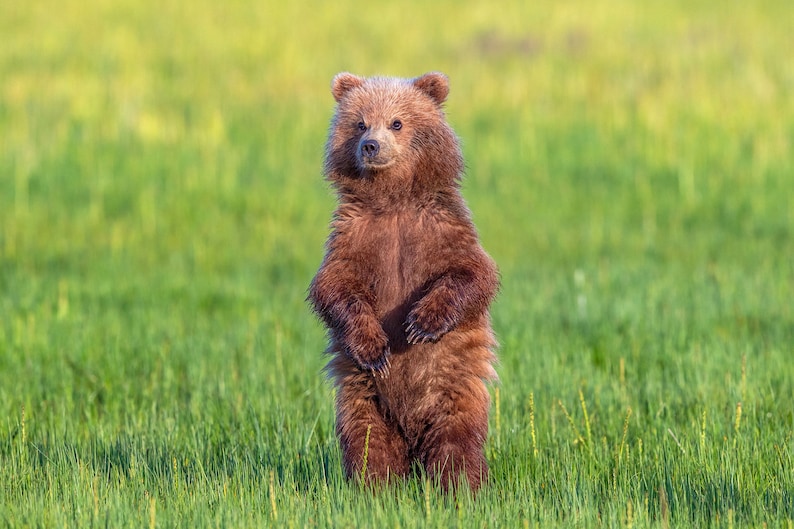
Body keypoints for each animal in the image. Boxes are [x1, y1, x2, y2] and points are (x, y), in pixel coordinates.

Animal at [308, 72, 499, 493]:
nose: (371, 145)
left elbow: (472, 273)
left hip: (453, 389)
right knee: (367, 441)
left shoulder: (440, 227)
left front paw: (421, 323)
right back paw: (375, 488)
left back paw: (459, 487)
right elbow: (334, 286)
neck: (393, 200)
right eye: (360, 122)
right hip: (362, 397)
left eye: (397, 122)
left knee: (456, 441)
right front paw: (375, 348)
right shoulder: (354, 235)